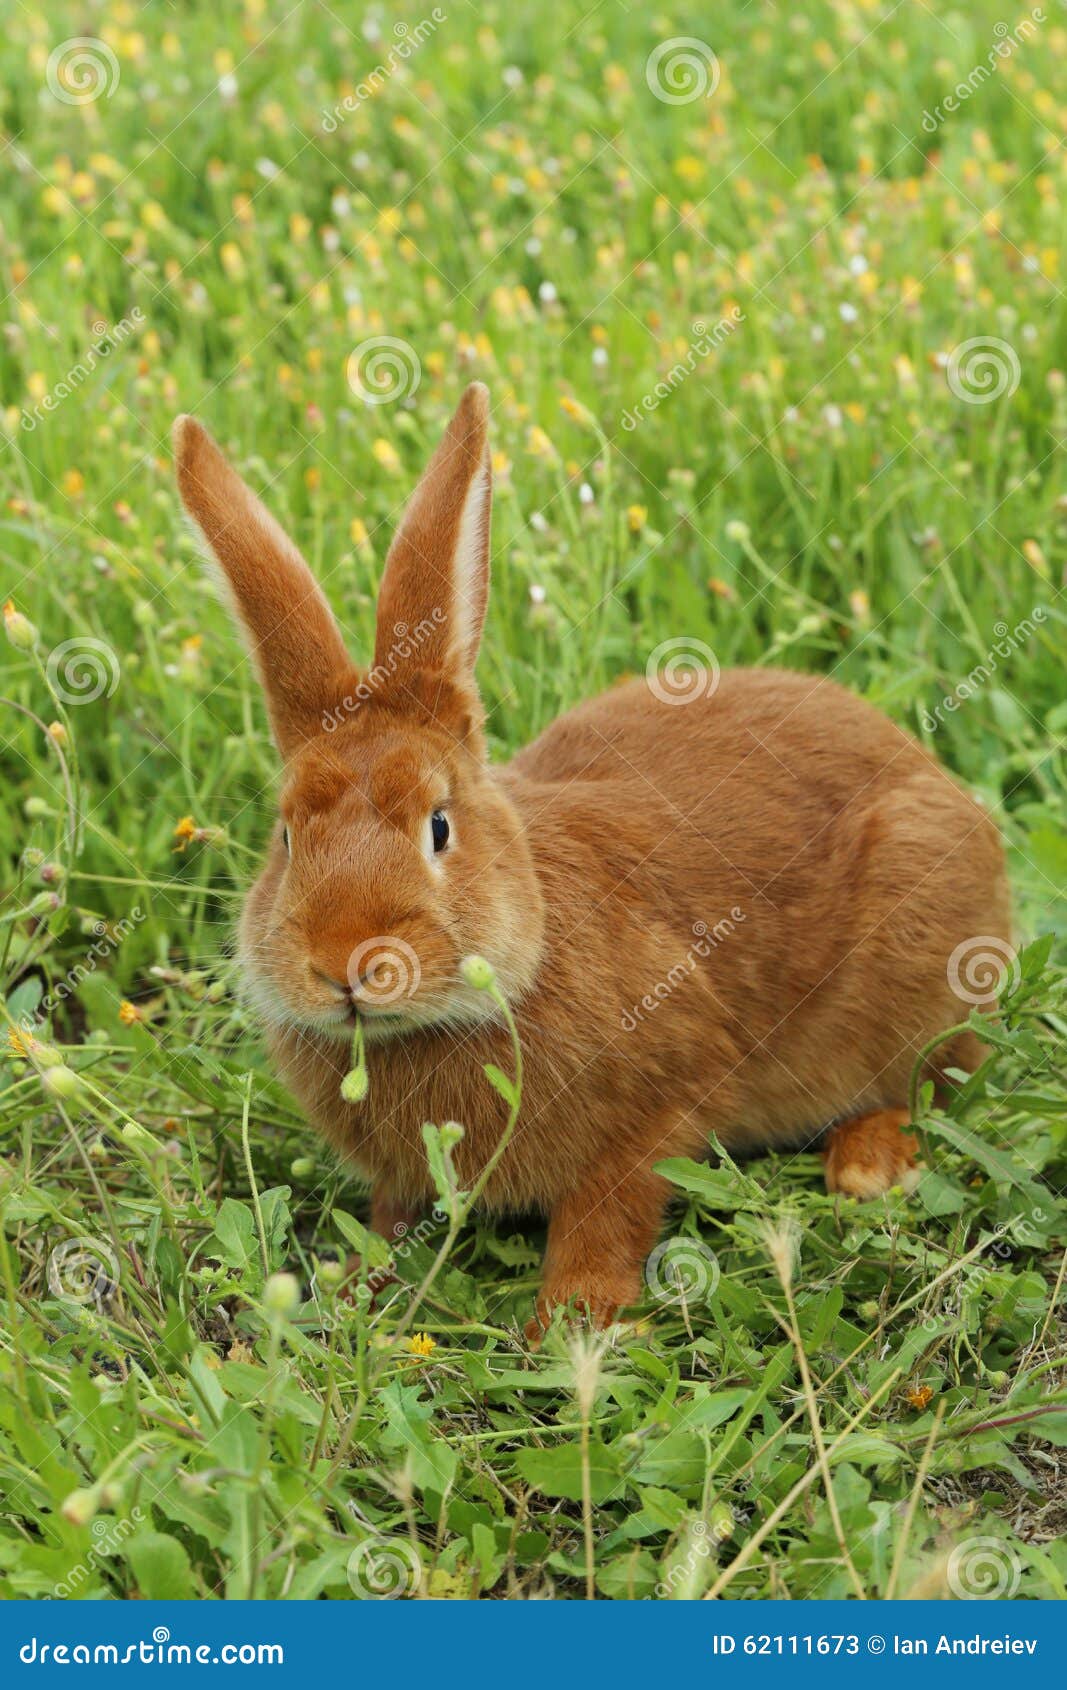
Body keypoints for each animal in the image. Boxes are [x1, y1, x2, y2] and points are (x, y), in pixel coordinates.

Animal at [174, 382, 1011, 1333]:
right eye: (286, 836)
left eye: (438, 826)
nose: (347, 963)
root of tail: (929, 776)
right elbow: (388, 1220)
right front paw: (353, 1294)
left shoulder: (653, 1111)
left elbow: (605, 1215)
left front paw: (573, 1327)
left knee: (934, 1079)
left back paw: (866, 1166)